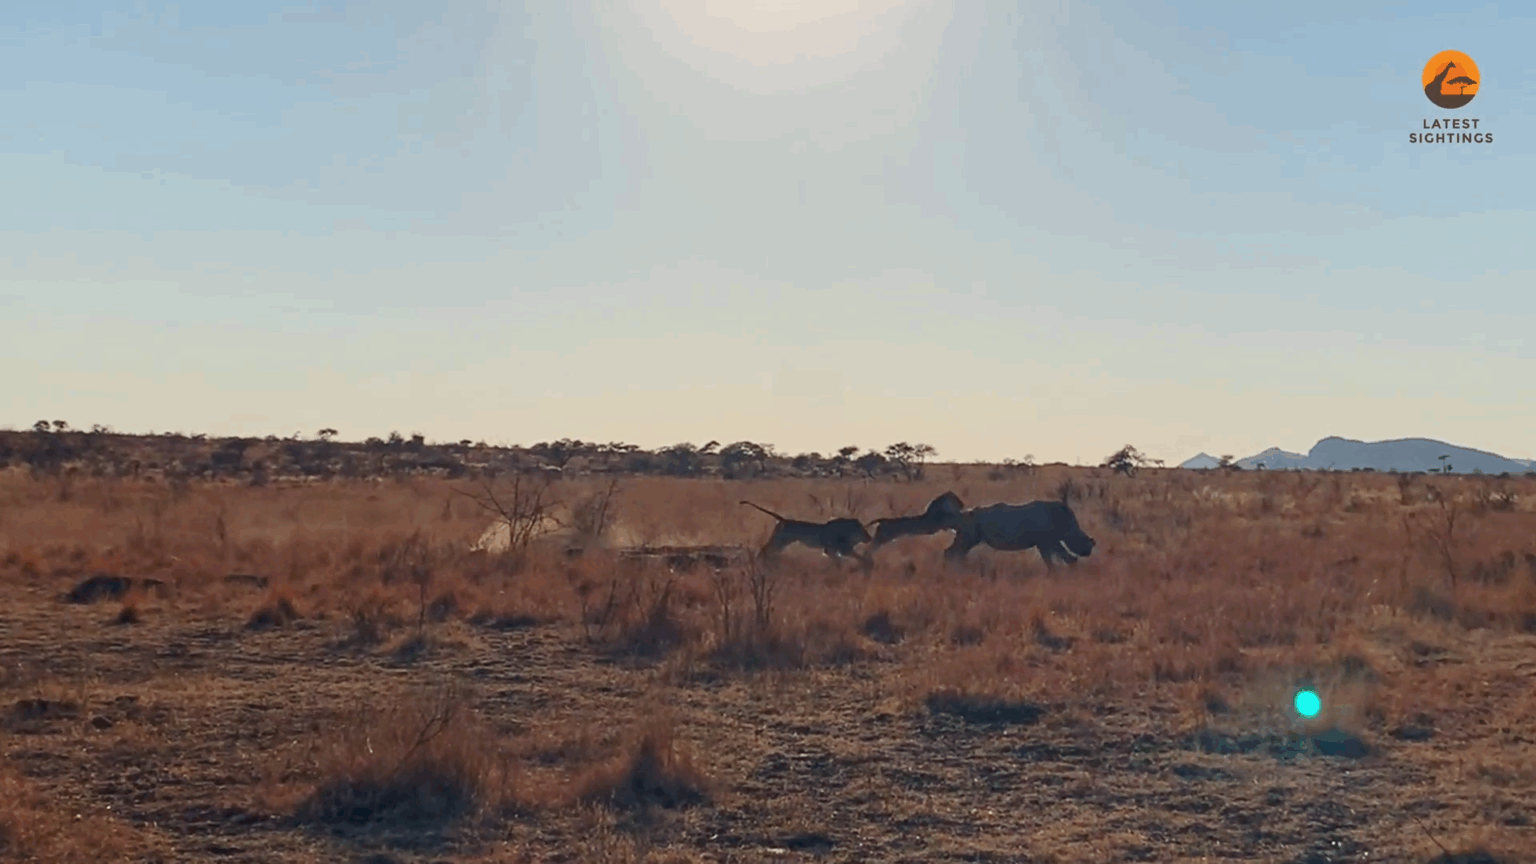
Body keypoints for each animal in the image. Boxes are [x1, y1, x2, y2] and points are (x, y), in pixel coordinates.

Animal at [739, 501, 873, 567]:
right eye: (863, 530)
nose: (869, 538)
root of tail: (784, 519)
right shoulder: (842, 548)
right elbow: (856, 556)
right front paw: (867, 562)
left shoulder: (831, 549)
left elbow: (838, 559)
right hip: (780, 540)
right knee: (765, 548)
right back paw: (760, 562)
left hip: (780, 542)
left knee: (768, 549)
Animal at [940, 500, 1096, 567]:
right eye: (1081, 540)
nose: (1088, 552)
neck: (1066, 522)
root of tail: (961, 516)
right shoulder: (1046, 541)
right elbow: (1054, 557)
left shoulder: (1048, 541)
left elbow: (1057, 556)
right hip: (970, 529)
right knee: (959, 548)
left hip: (970, 530)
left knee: (961, 549)